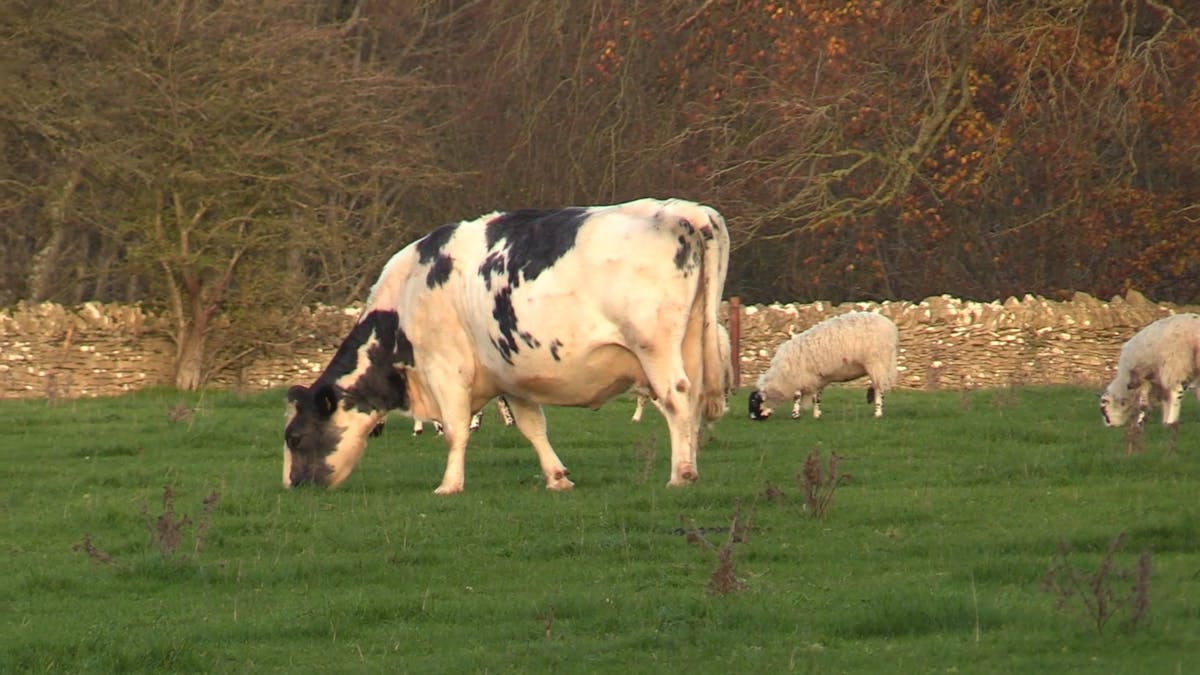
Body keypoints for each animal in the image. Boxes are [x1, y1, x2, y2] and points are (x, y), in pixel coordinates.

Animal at [283, 197, 731, 493]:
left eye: (295, 438)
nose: (292, 486)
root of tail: (681, 209)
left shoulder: (444, 368)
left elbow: (455, 431)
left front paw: (449, 485)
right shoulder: (512, 377)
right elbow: (532, 428)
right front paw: (557, 478)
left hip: (654, 348)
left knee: (676, 398)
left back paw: (680, 475)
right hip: (691, 342)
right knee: (692, 403)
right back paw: (691, 466)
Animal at [748, 311, 899, 421]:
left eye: (754, 402)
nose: (753, 419)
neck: (781, 379)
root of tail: (890, 326)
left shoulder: (801, 376)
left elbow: (798, 396)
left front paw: (795, 415)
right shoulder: (817, 378)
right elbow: (816, 397)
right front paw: (817, 415)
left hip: (877, 362)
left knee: (879, 389)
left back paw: (878, 413)